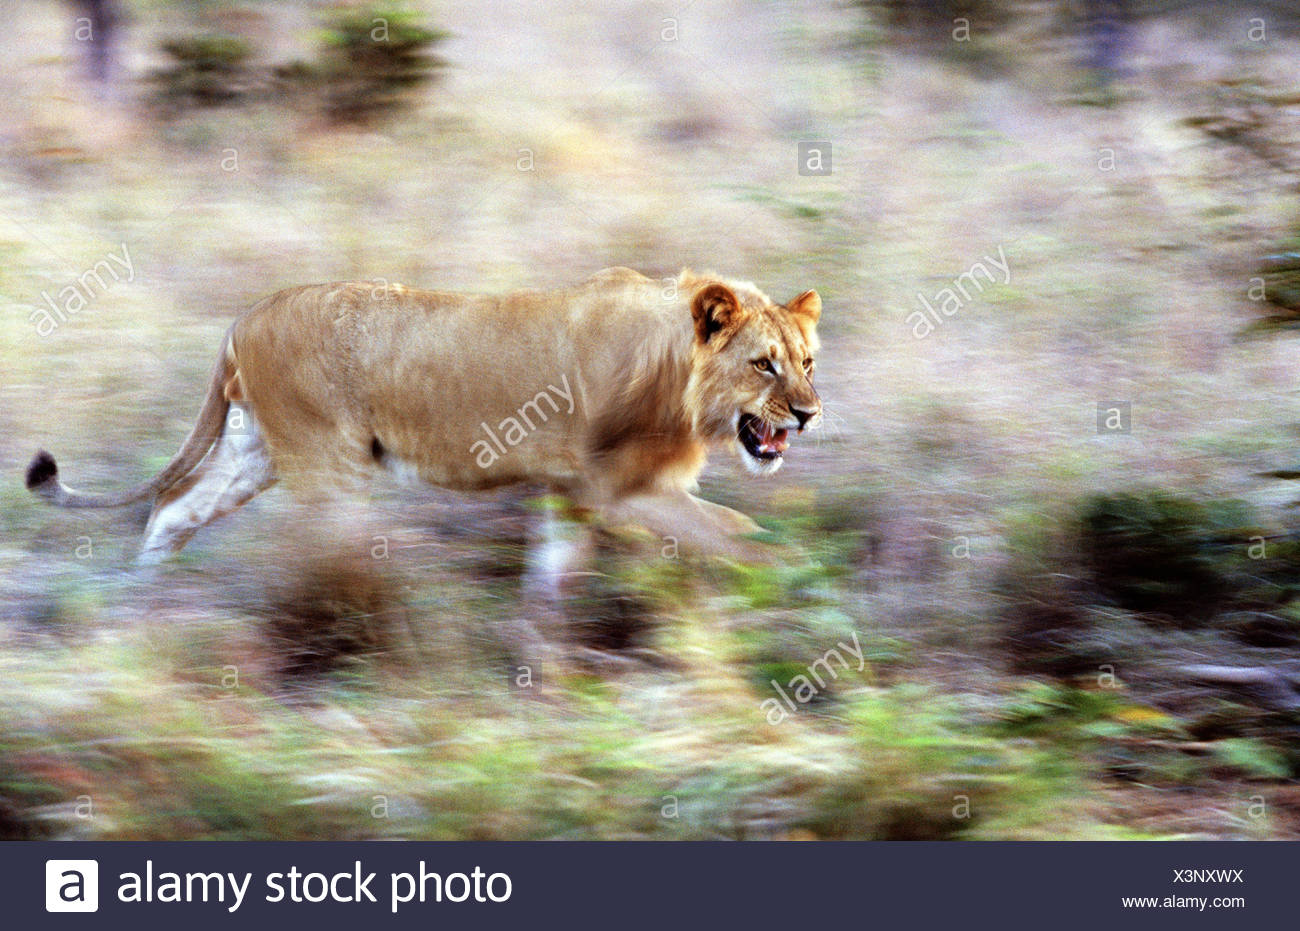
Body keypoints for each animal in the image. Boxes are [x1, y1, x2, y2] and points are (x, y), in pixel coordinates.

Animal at [25, 267, 823, 570]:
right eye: (764, 365)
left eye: (807, 362)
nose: (809, 415)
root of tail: (246, 316)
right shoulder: (618, 488)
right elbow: (739, 534)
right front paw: (788, 583)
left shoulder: (571, 494)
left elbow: (553, 573)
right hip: (330, 467)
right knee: (325, 547)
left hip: (255, 453)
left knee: (172, 509)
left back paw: (139, 609)